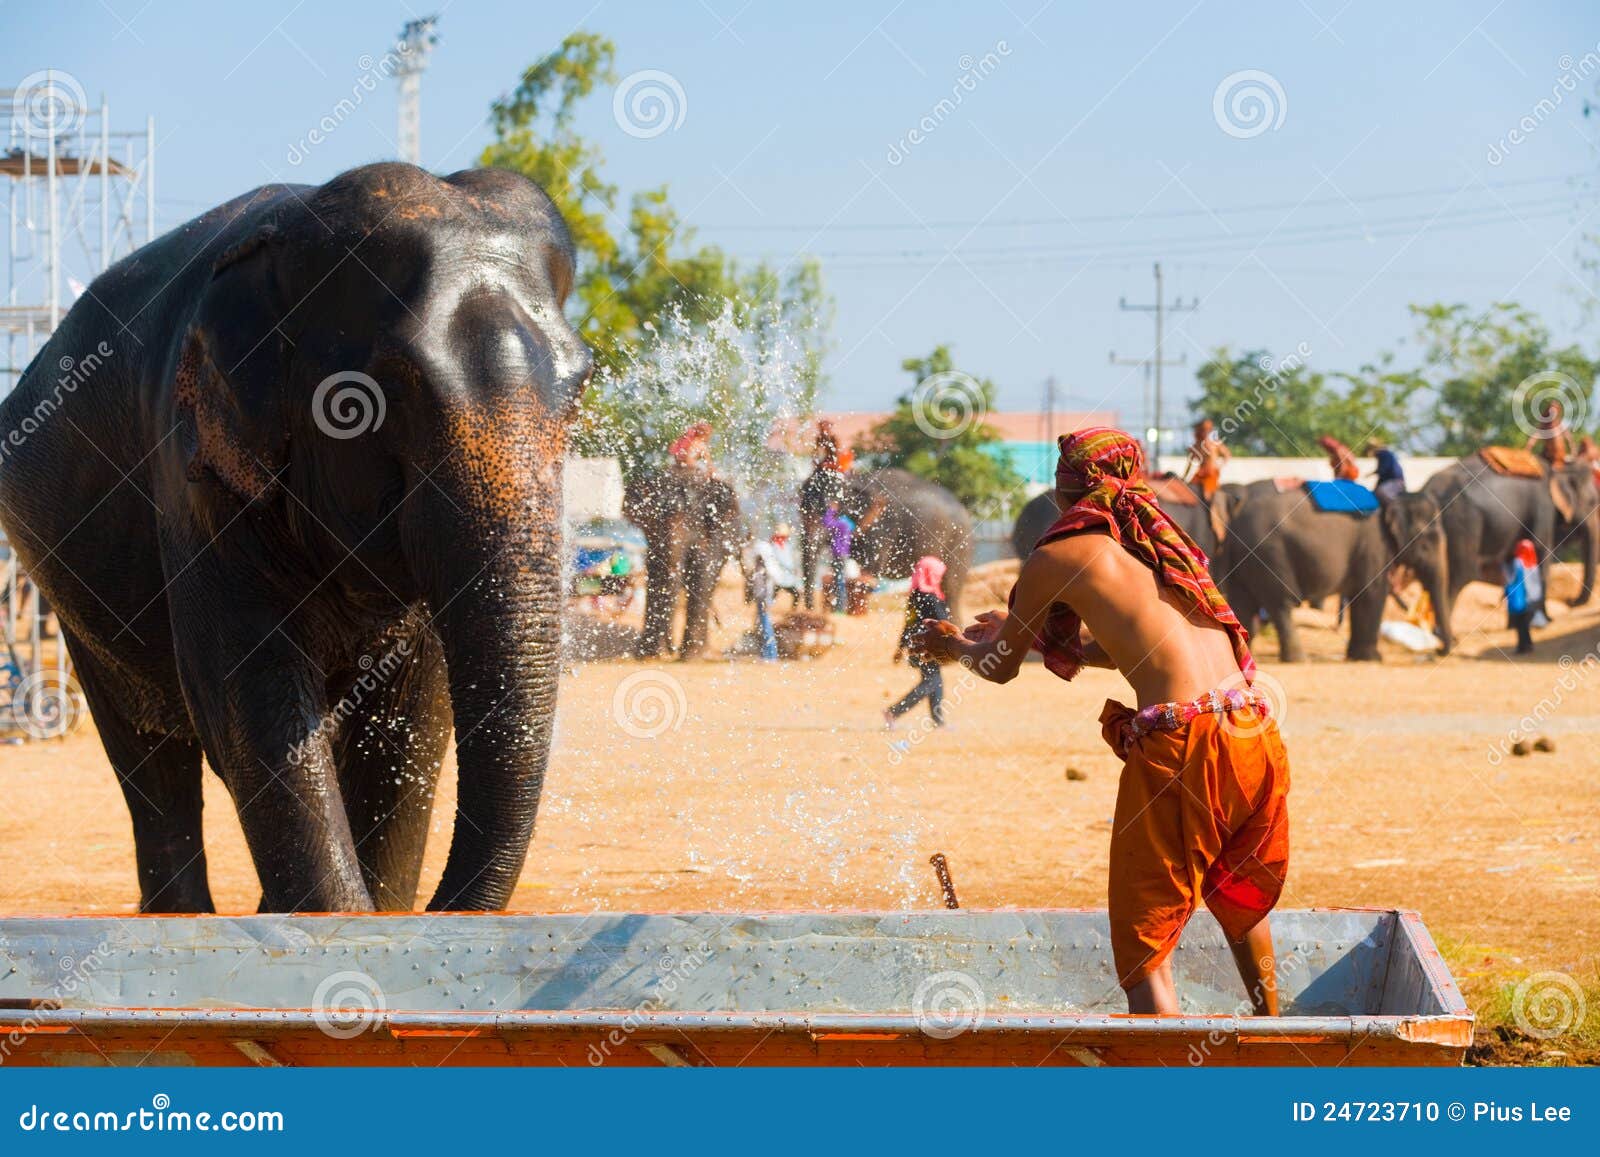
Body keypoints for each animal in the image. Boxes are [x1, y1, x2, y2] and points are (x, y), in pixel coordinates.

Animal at [0, 163, 592, 913]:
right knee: (150, 763)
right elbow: (249, 701)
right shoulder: (194, 470)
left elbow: (413, 718)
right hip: (70, 597)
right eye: (377, 395)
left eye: (581, 387)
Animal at [623, 465, 744, 659]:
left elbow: (703, 573)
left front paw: (690, 657)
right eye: (658, 523)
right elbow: (656, 574)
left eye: (694, 523)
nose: (671, 651)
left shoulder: (714, 535)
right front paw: (647, 655)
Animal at [1222, 483, 1448, 661]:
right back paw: (1298, 659)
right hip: (1270, 555)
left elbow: (1360, 595)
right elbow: (1373, 593)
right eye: (1428, 543)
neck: (1395, 501)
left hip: (1243, 560)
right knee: (1281, 603)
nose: (1438, 652)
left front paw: (1356, 657)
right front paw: (1372, 658)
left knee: (1242, 603)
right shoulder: (1374, 547)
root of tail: (1234, 525)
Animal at [1422, 456, 1598, 628]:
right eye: (1592, 502)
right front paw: (1547, 621)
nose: (1571, 601)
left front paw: (1515, 625)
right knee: (1460, 575)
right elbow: (1540, 555)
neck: (1559, 469)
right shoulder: (1543, 511)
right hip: (1462, 523)